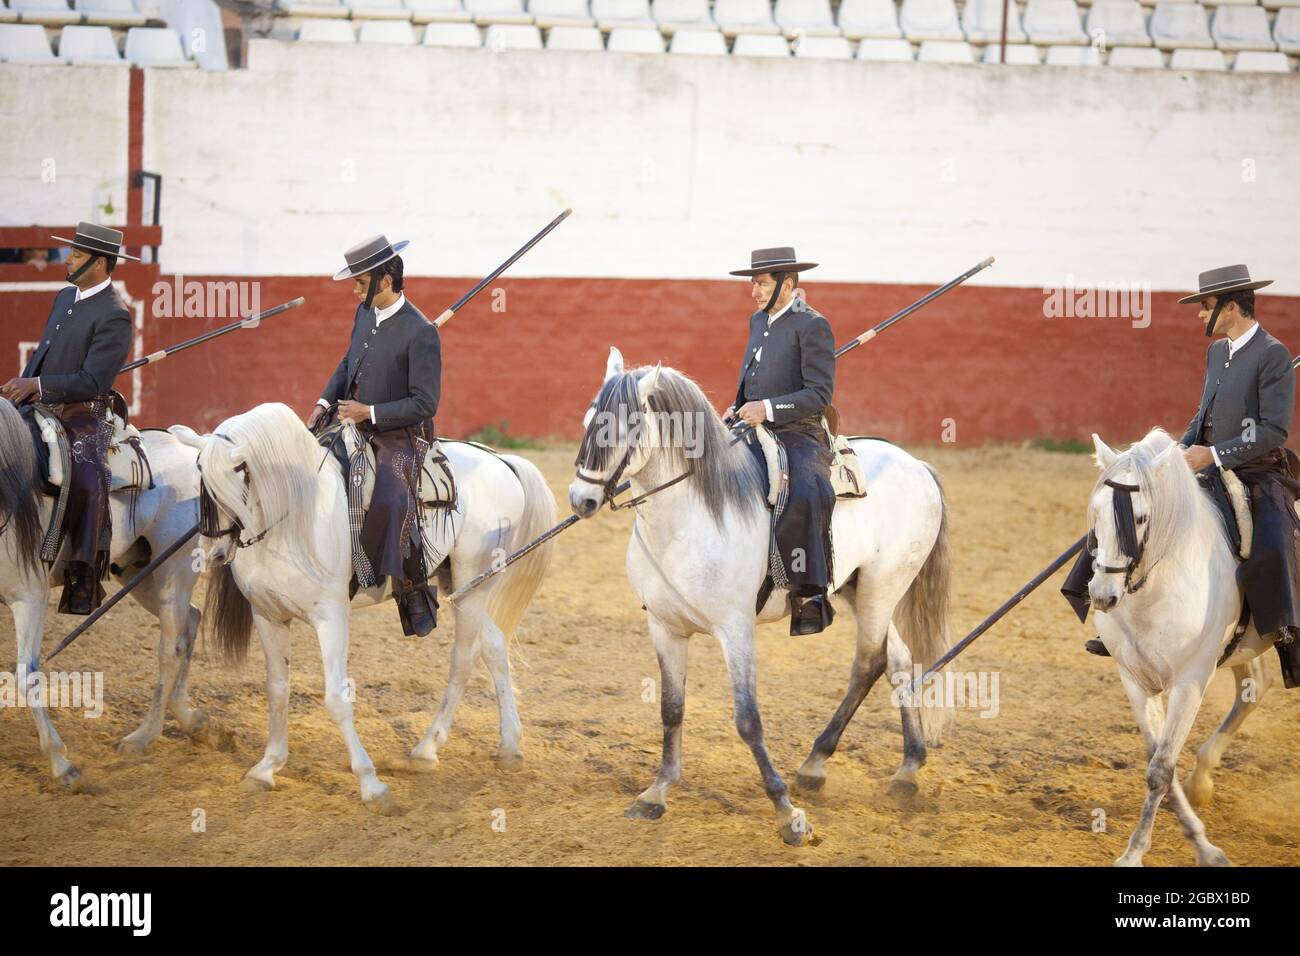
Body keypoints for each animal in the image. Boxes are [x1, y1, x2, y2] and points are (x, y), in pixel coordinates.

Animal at [0, 398, 213, 790]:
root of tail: (186, 447)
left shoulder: (29, 597)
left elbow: (27, 676)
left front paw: (62, 765)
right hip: (139, 571)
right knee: (190, 620)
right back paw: (192, 721)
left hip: (174, 568)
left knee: (170, 647)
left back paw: (143, 736)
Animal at [170, 402, 556, 809]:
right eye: (198, 474)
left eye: (240, 473)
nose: (214, 552)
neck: (293, 517)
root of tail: (503, 461)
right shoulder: (268, 616)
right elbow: (276, 689)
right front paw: (266, 768)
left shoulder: (331, 618)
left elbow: (337, 699)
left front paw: (371, 784)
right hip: (461, 584)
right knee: (494, 645)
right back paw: (509, 745)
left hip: (472, 585)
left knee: (464, 659)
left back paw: (427, 749)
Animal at [568, 348, 952, 844]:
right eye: (587, 420)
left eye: (628, 428)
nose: (580, 499)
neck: (689, 519)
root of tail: (917, 466)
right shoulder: (665, 627)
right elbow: (672, 709)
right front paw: (656, 793)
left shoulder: (736, 630)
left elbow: (747, 719)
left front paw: (787, 813)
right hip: (859, 588)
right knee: (900, 661)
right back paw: (906, 767)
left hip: (882, 589)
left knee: (870, 663)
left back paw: (814, 766)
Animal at [1087, 428, 1280, 866]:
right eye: (1097, 512)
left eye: (1141, 517)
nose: (1103, 596)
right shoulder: (1134, 679)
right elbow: (1159, 759)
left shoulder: (1191, 681)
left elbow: (1161, 768)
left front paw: (1144, 851)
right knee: (1256, 684)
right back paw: (1202, 779)